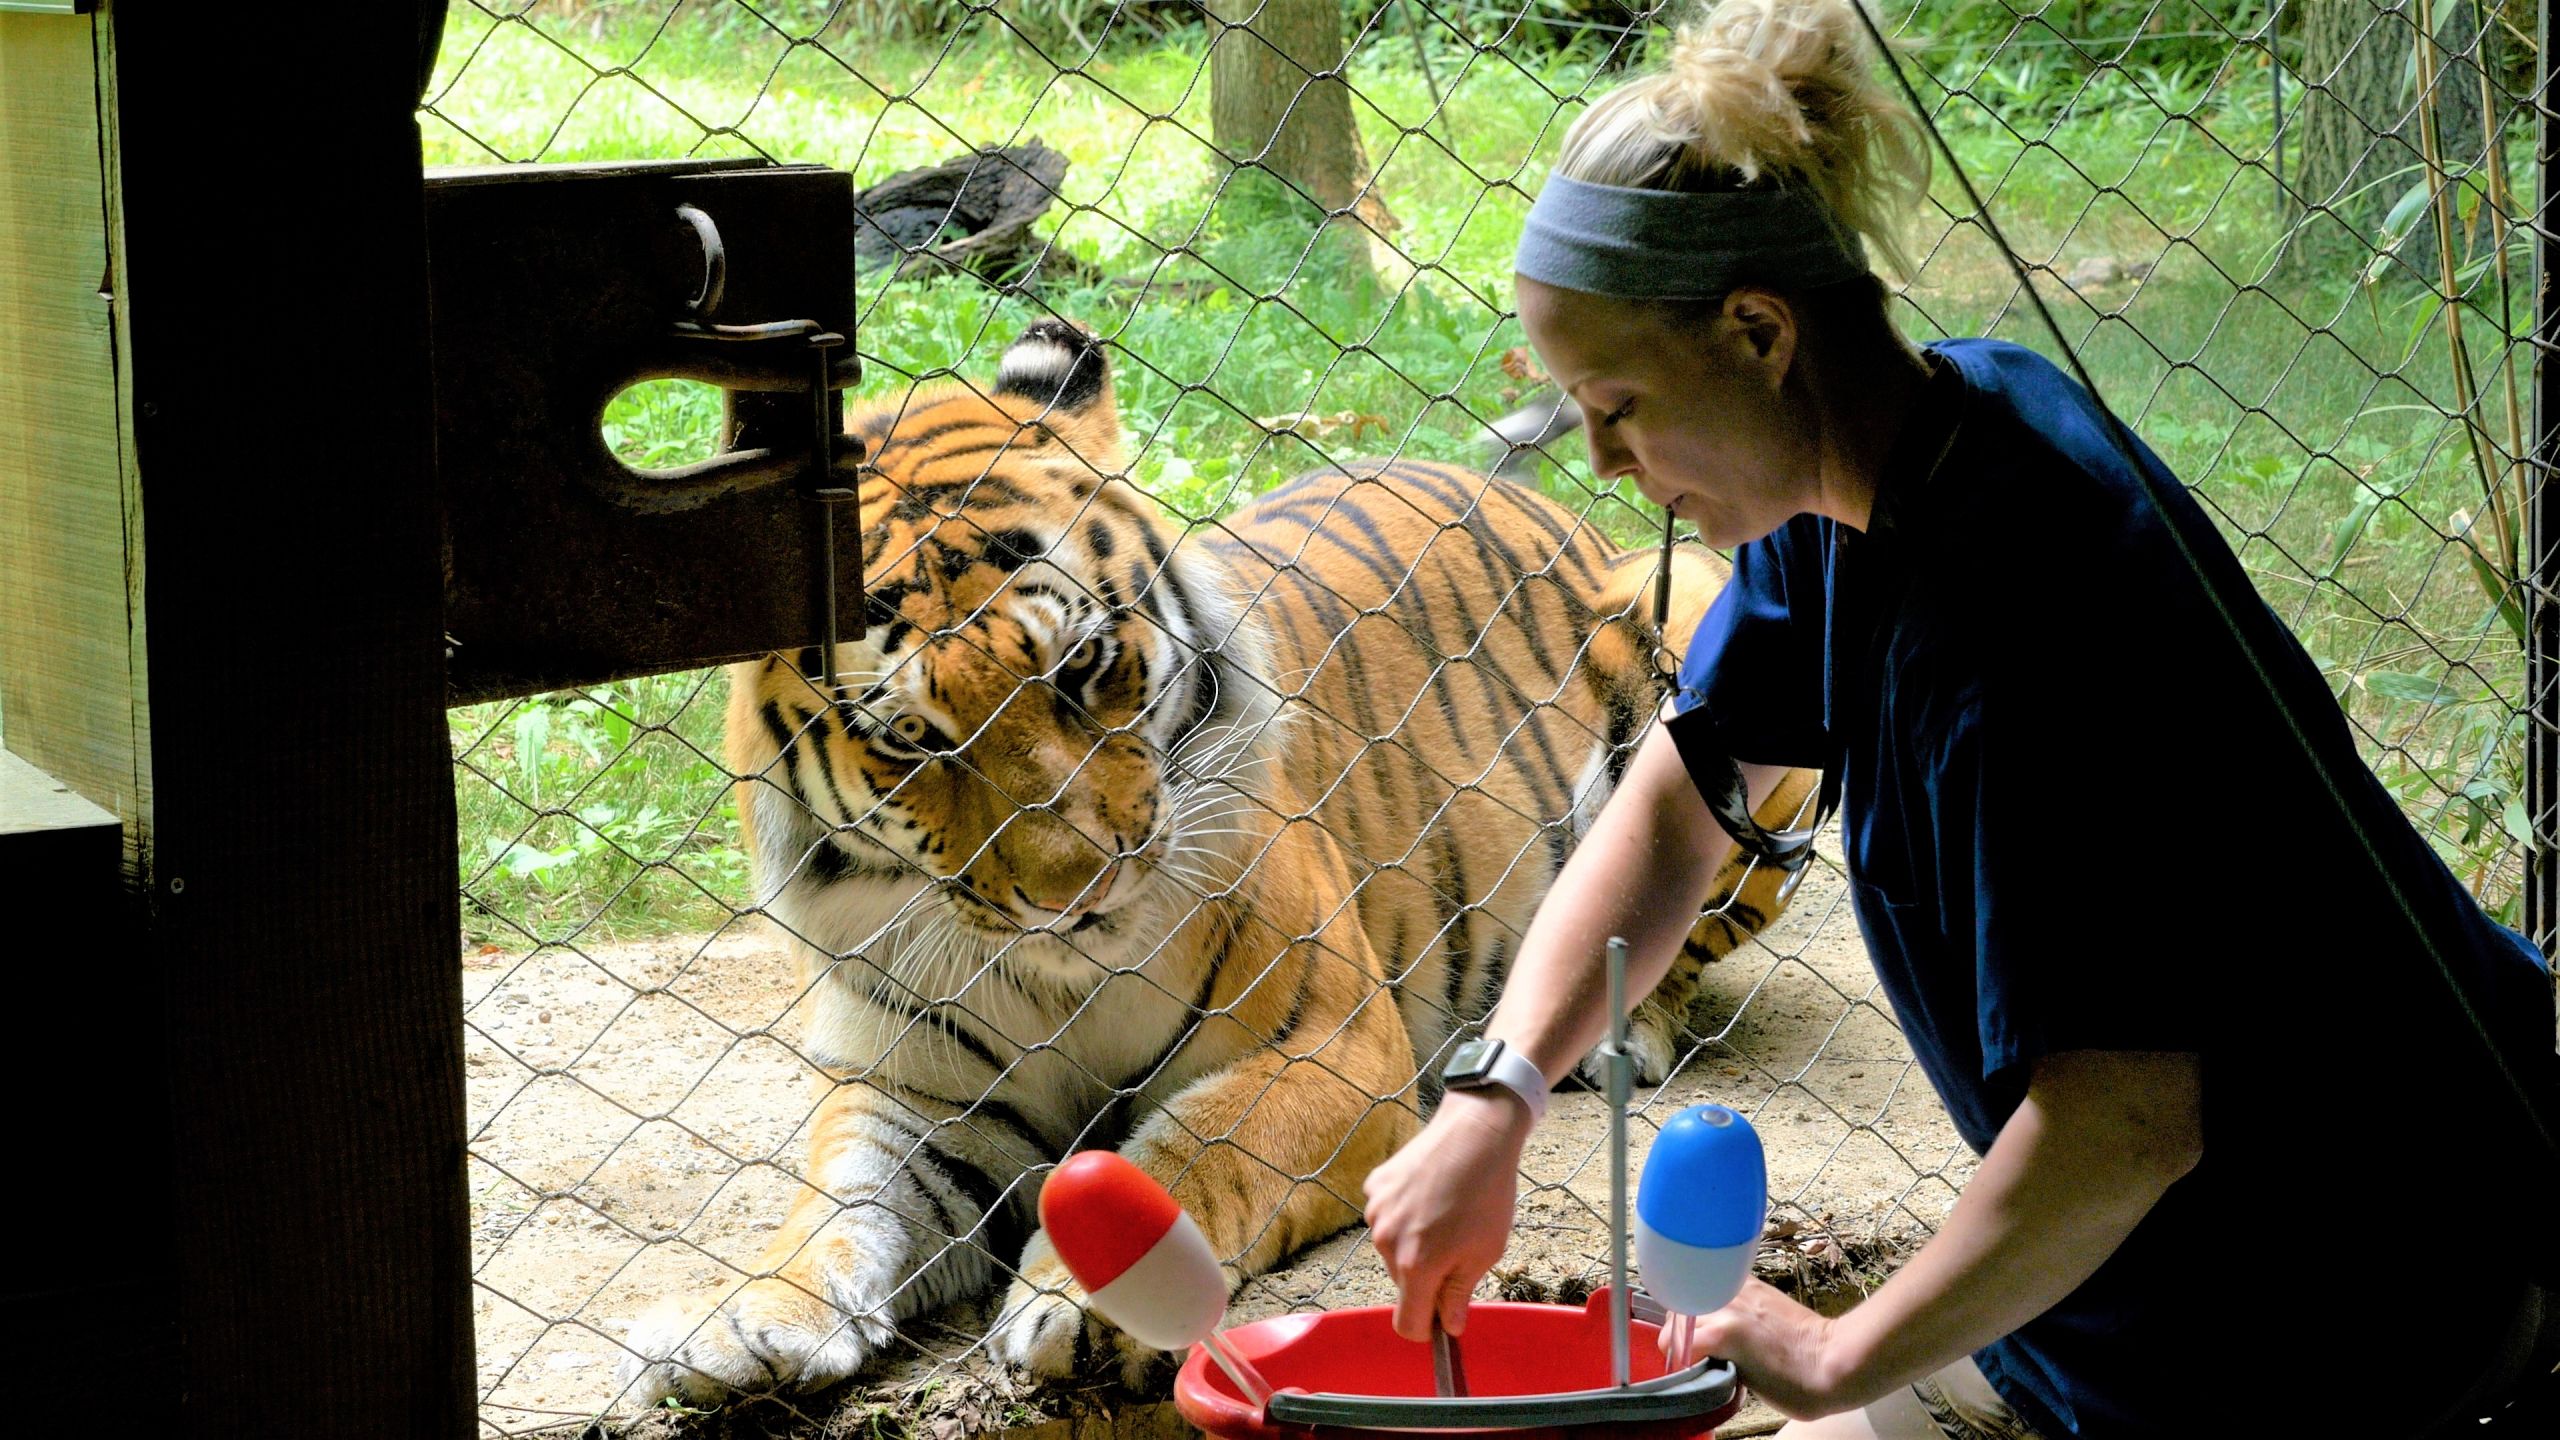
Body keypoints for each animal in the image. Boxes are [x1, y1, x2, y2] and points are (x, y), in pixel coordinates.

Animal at [619, 319, 1820, 1403]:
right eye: (911, 739)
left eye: (1081, 664)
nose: (1076, 893)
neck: (1062, 982)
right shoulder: (913, 1089)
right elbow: (844, 1200)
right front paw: (748, 1321)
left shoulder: (1331, 1043)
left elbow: (1194, 1149)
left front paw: (1098, 1299)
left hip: (1709, 620)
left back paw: (1609, 1034)